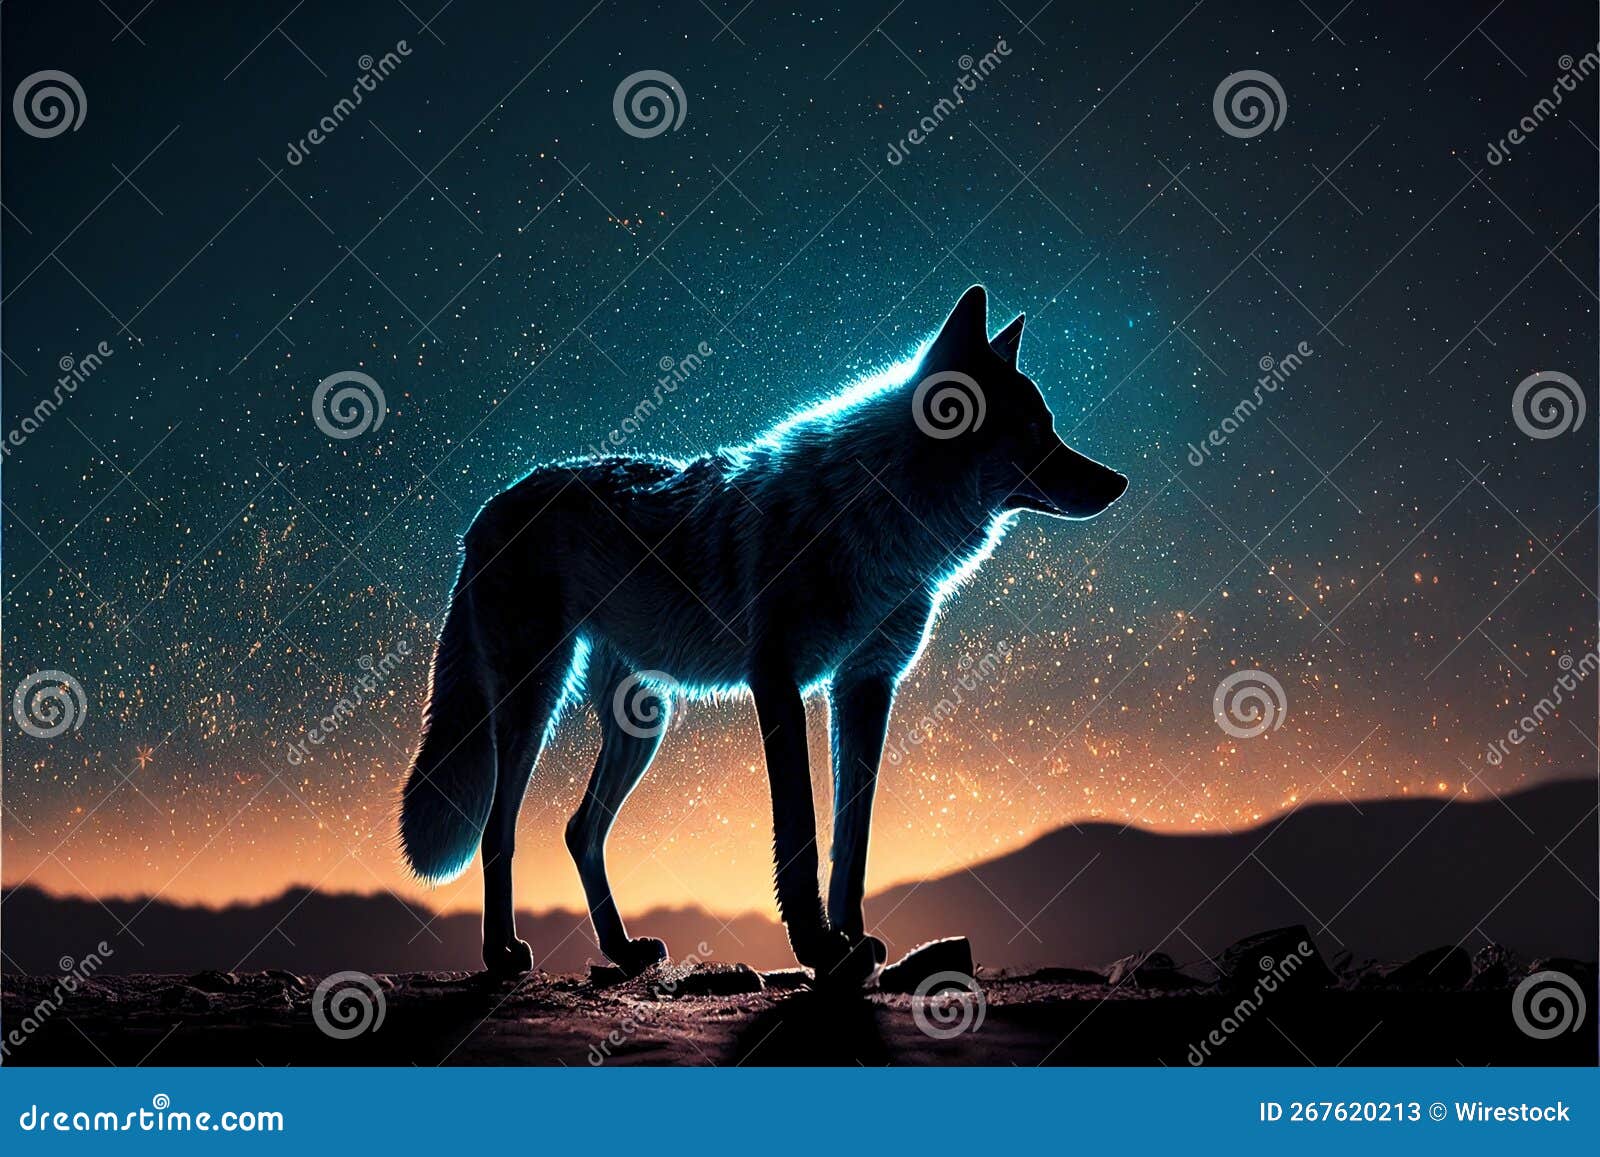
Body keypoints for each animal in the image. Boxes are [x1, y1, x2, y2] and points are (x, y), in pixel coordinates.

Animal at [398, 285, 1127, 982]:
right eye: (1032, 429)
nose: (1118, 482)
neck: (881, 516)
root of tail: (487, 508)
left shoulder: (866, 686)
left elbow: (853, 839)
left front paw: (849, 940)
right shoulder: (777, 681)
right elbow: (800, 827)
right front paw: (820, 949)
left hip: (644, 720)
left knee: (580, 830)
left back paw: (624, 951)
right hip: (534, 704)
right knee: (499, 828)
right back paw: (501, 954)